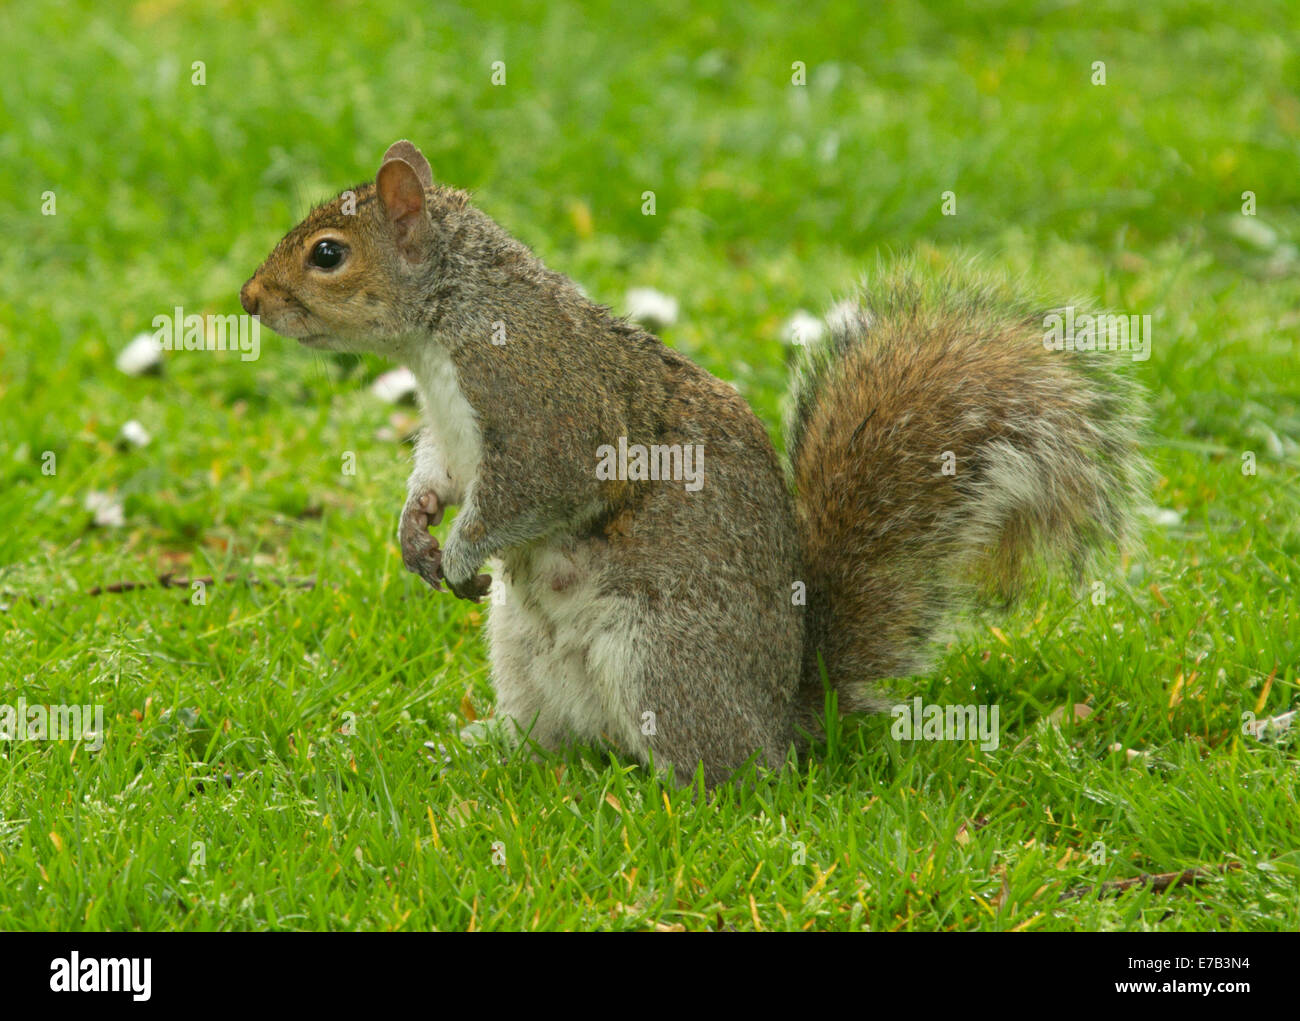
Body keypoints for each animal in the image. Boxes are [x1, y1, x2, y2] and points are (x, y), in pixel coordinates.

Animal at [241, 140, 1147, 787]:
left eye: (327, 254)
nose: (249, 300)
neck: (445, 319)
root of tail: (781, 716)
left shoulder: (541, 402)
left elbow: (534, 487)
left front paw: (462, 550)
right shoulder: (447, 430)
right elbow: (437, 477)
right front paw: (414, 530)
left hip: (661, 656)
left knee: (724, 771)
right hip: (524, 658)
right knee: (564, 739)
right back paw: (489, 747)